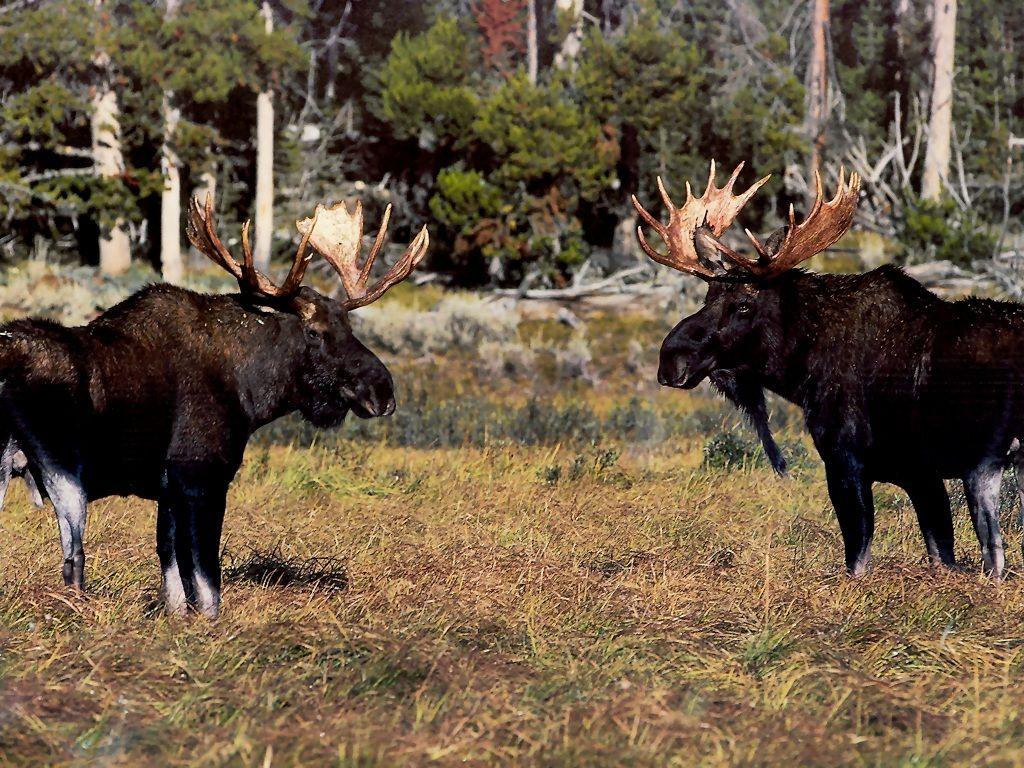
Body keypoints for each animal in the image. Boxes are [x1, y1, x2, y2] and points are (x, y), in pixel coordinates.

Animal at [0, 195, 428, 617]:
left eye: (350, 327)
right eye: (315, 333)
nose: (383, 390)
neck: (250, 392)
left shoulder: (168, 489)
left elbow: (172, 578)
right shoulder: (202, 475)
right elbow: (207, 584)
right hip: (64, 475)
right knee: (74, 563)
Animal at [634, 160, 1024, 578]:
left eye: (743, 304)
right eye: (708, 296)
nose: (670, 357)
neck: (802, 371)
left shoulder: (844, 459)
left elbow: (856, 558)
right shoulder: (919, 474)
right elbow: (941, 553)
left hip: (986, 460)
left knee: (995, 555)